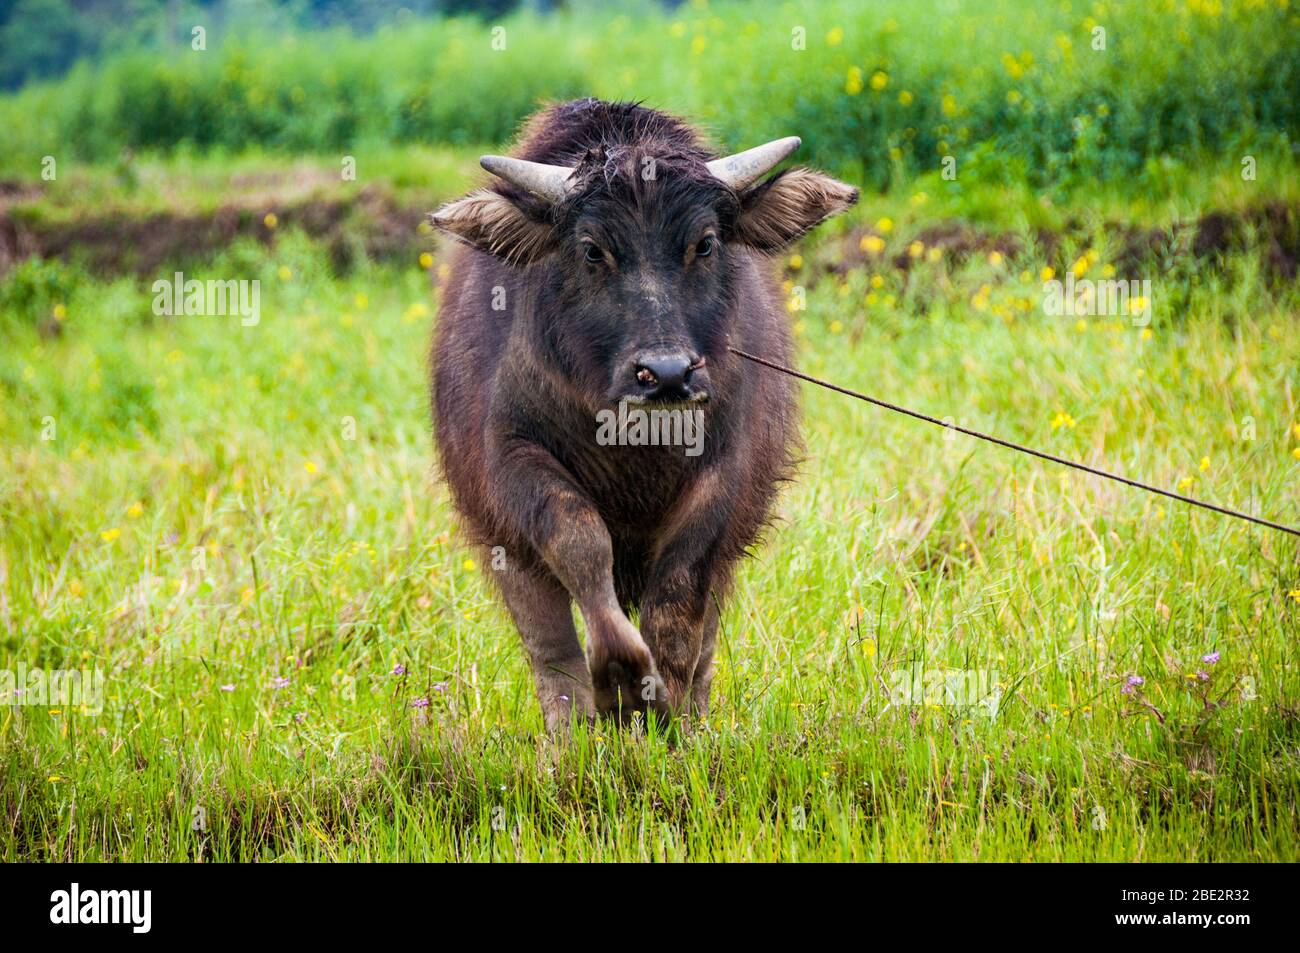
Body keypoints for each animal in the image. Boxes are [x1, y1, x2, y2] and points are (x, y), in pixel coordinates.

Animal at [430, 98, 857, 730]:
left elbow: (678, 601)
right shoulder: (512, 457)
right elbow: (580, 542)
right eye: (591, 249)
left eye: (705, 243)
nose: (668, 374)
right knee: (552, 656)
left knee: (704, 642)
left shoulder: (727, 471)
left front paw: (663, 706)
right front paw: (623, 673)